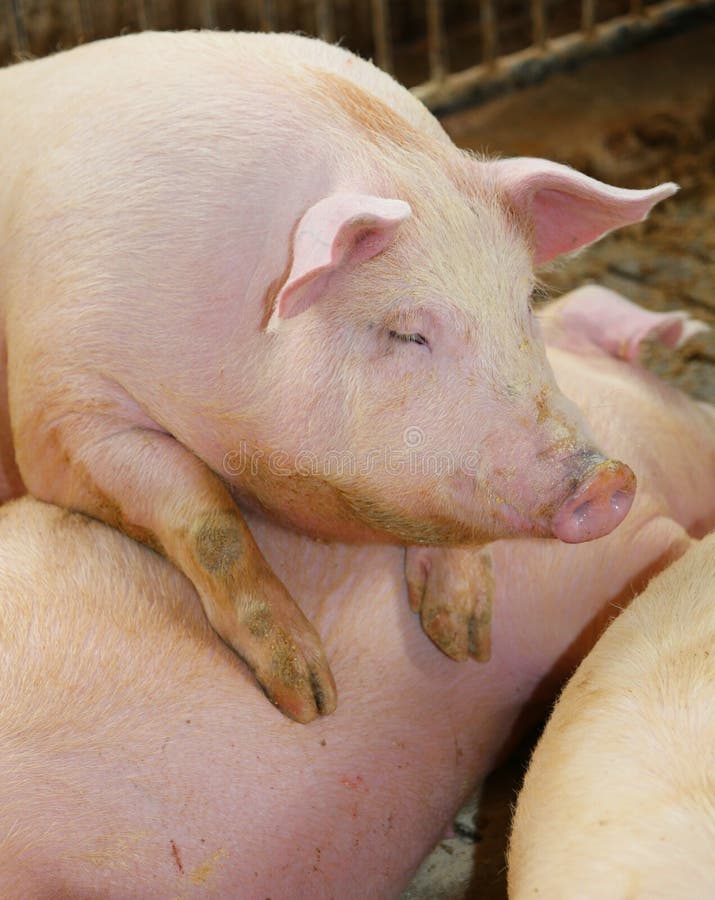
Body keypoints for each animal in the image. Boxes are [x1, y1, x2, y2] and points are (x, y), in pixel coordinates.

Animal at [0, 30, 676, 722]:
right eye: (406, 332)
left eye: (527, 303)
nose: (608, 481)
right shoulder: (60, 408)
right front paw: (310, 698)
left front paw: (462, 642)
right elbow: (205, 518)